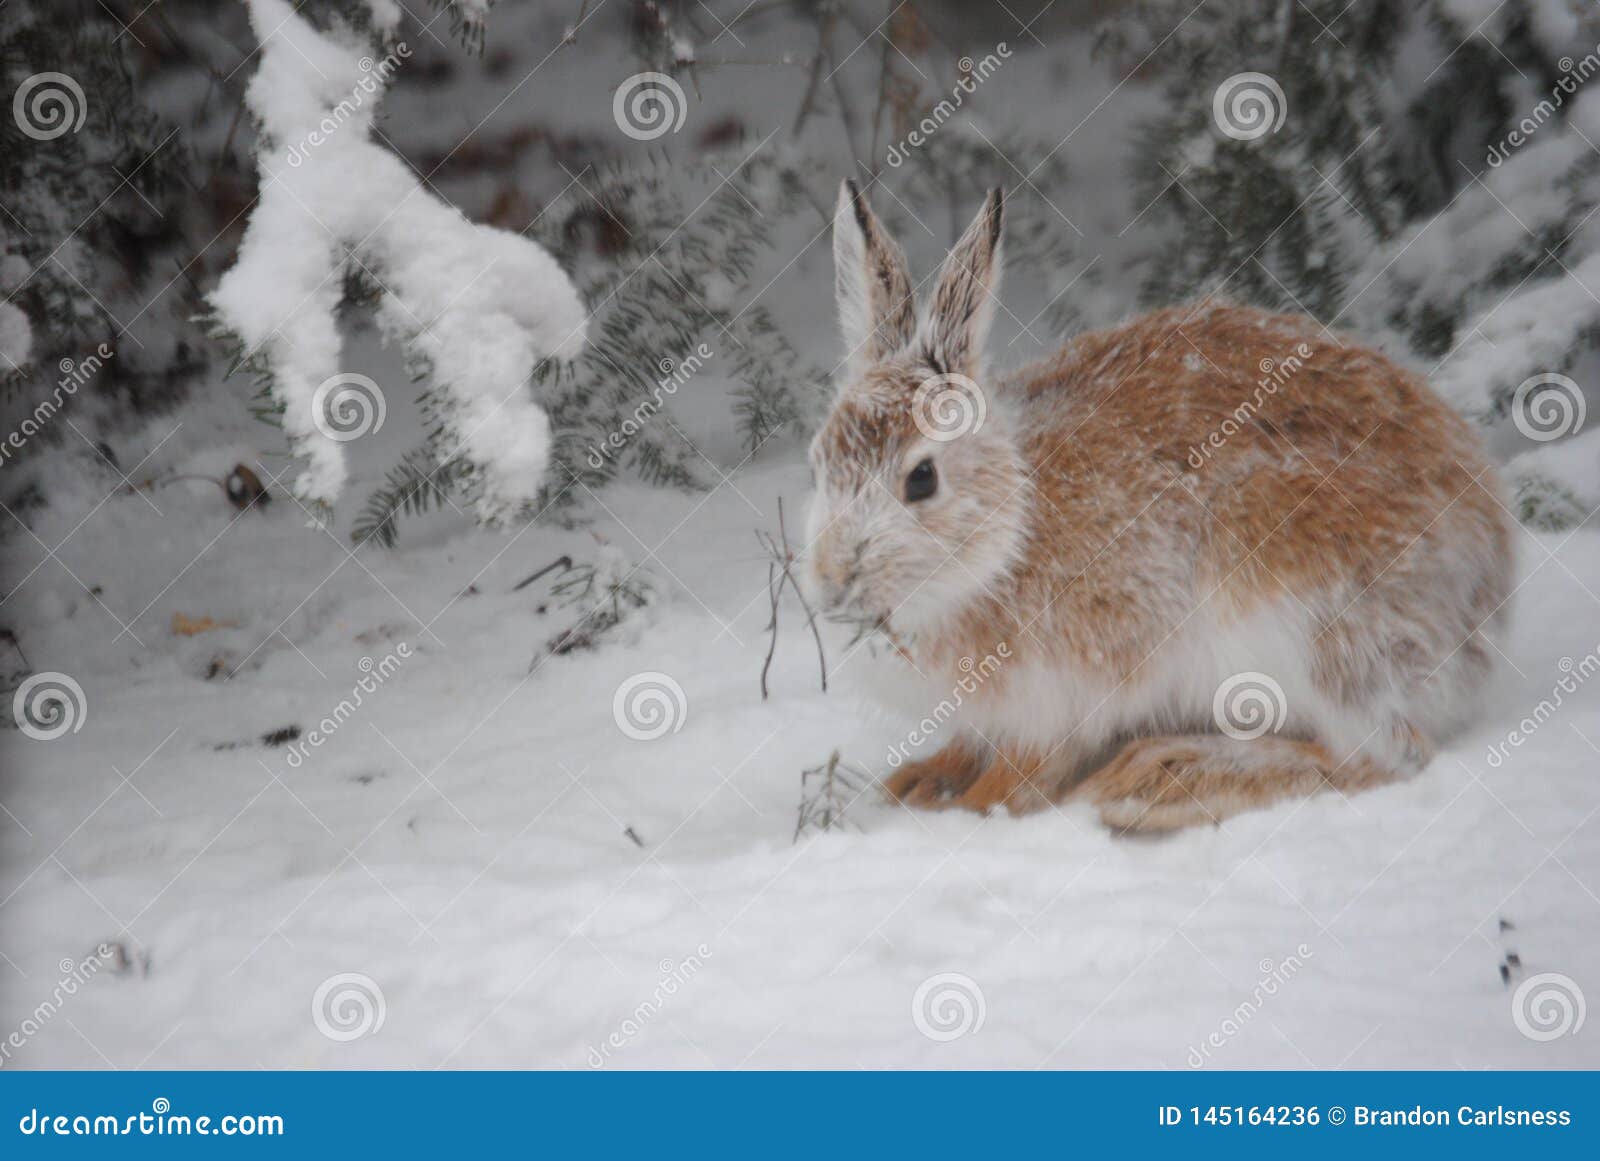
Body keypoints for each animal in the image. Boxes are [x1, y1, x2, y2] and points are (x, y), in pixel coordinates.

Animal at [804, 180, 1514, 832]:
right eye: (817, 462)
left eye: (921, 480)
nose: (833, 585)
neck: (1008, 538)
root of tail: (1484, 608)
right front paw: (919, 782)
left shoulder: (1073, 688)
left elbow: (1032, 766)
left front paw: (977, 810)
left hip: (1300, 612)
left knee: (1384, 752)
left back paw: (1161, 777)